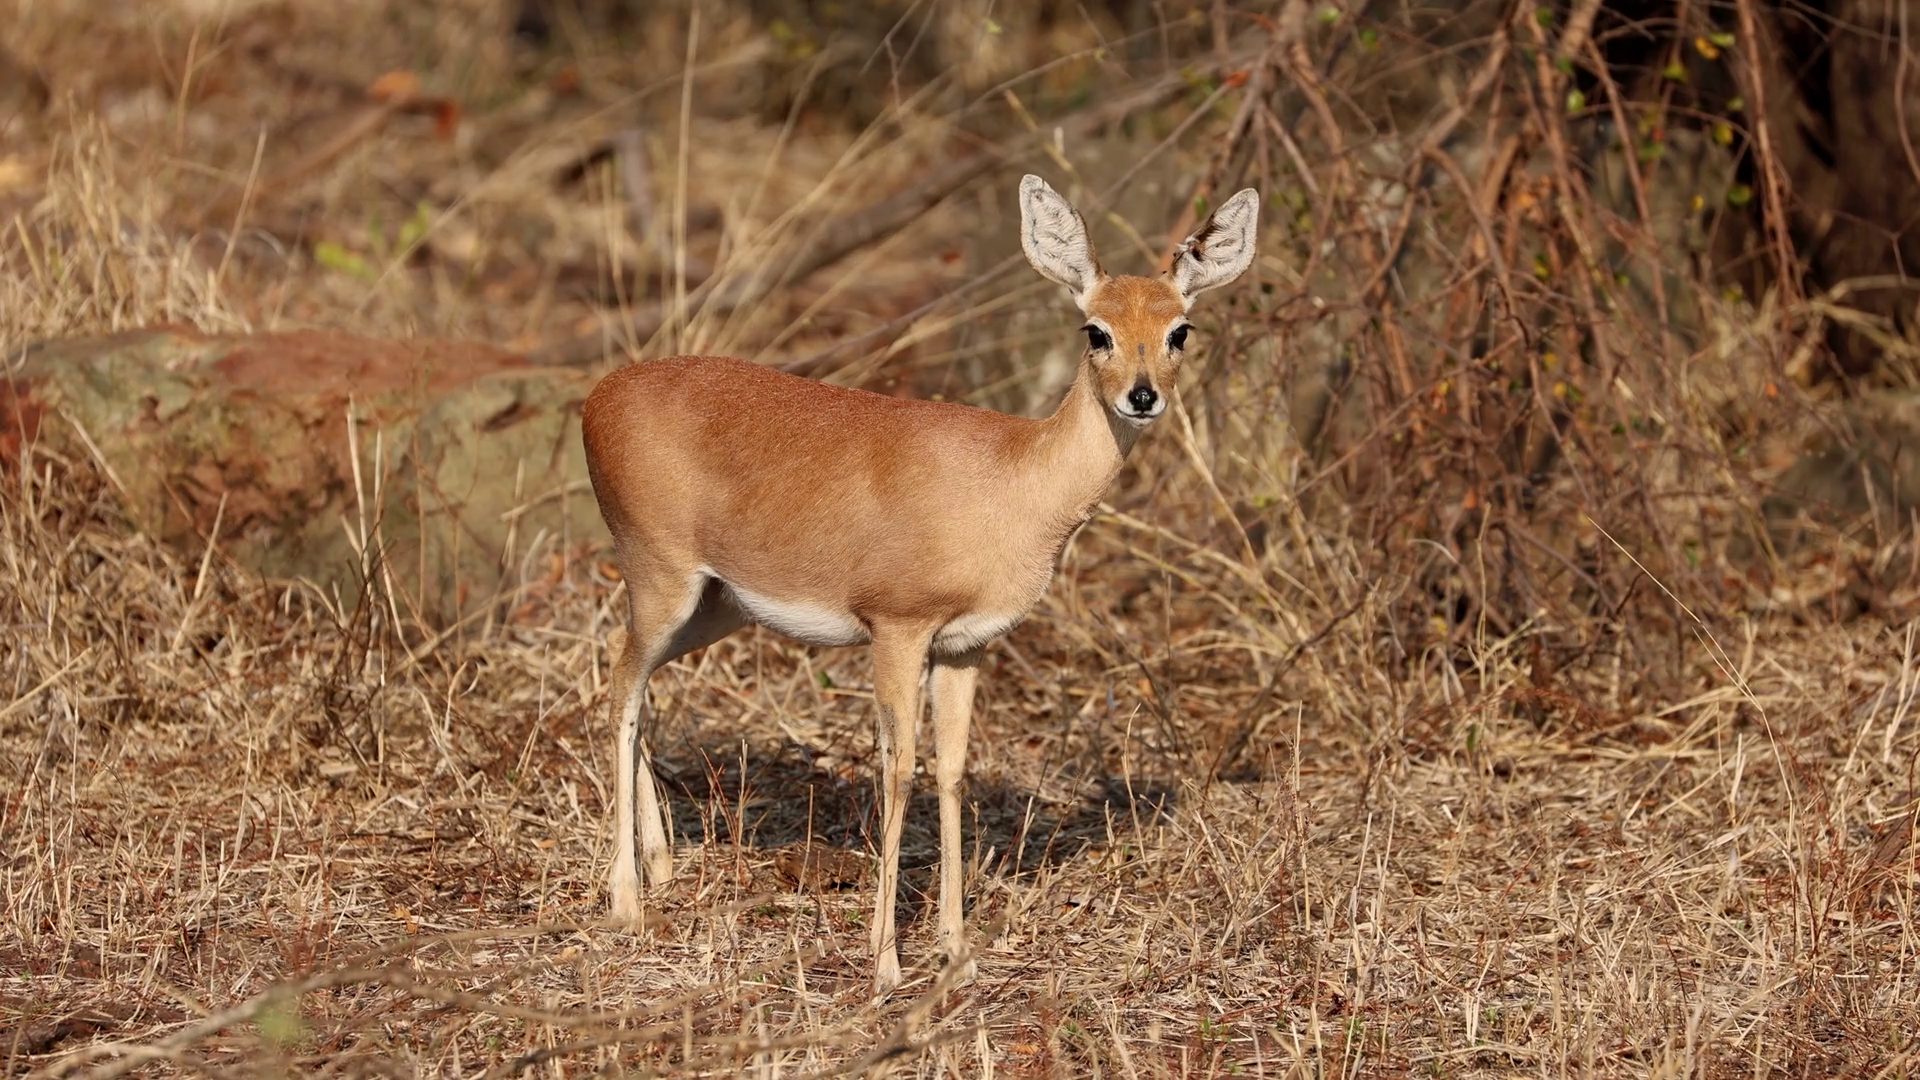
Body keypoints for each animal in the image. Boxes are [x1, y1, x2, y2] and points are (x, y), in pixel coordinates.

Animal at [581, 174, 1259, 994]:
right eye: (1095, 329)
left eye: (1179, 330)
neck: (1012, 484)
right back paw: (625, 903)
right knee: (619, 685)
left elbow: (955, 772)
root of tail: (602, 392)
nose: (1141, 396)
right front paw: (885, 965)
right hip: (661, 579)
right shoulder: (897, 630)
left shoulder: (965, 647)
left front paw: (957, 950)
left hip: (718, 606)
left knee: (636, 687)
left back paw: (662, 867)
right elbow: (900, 770)